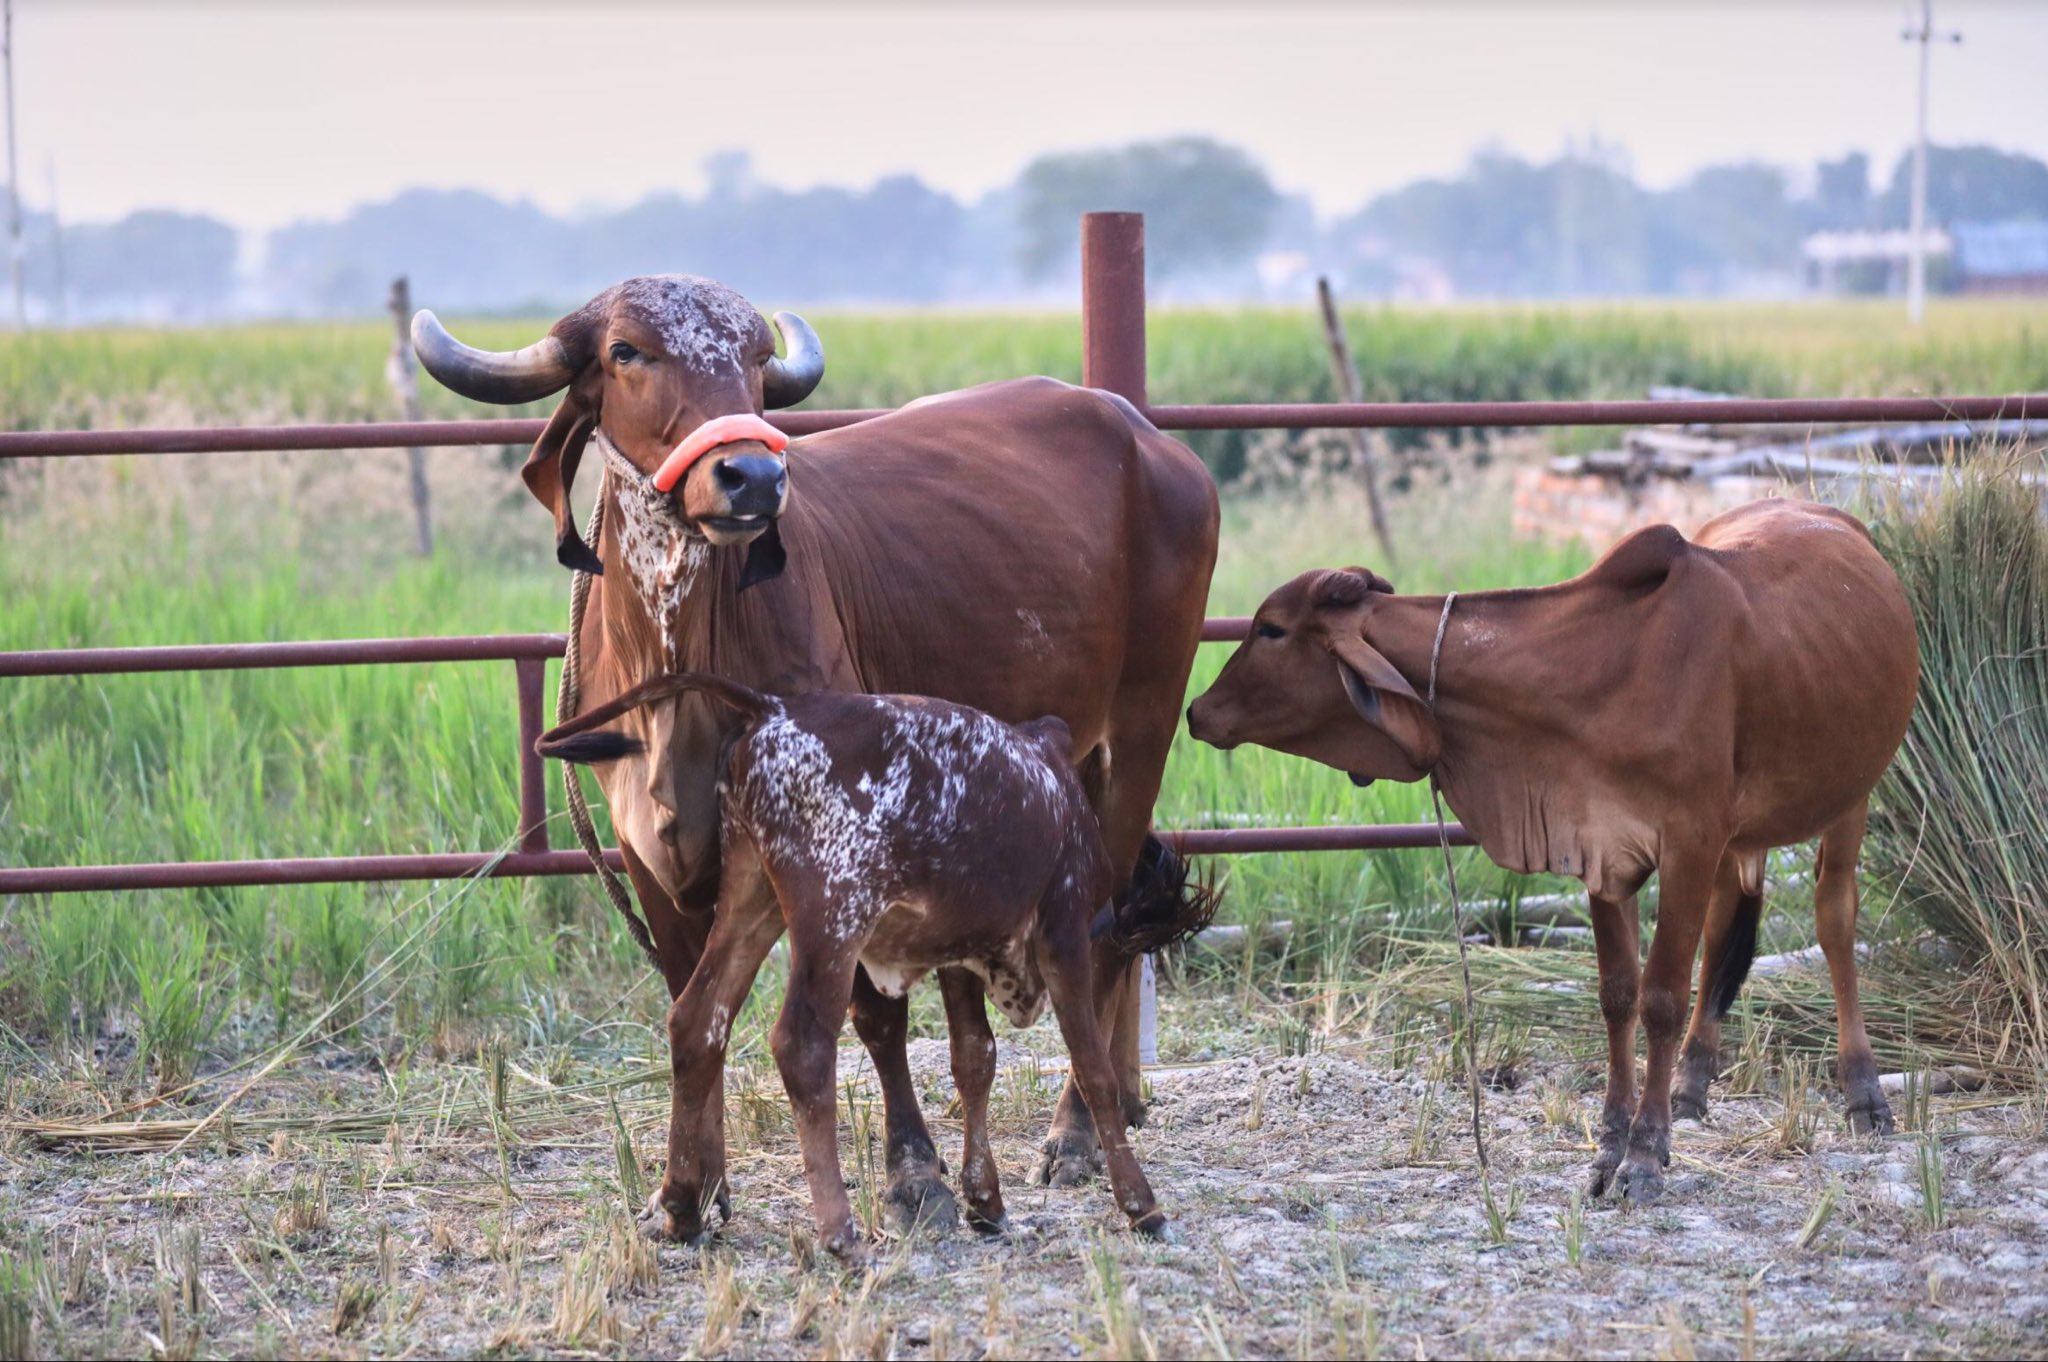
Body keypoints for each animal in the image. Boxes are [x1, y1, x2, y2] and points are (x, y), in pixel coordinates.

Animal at [535, 671, 1179, 1260]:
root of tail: (773, 709)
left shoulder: (961, 948)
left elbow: (975, 1059)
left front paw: (986, 1200)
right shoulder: (1063, 931)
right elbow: (1092, 1068)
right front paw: (1140, 1204)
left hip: (751, 899)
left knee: (697, 1022)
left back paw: (680, 1208)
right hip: (832, 916)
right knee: (801, 1045)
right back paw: (840, 1235)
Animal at [1186, 500, 1919, 1202]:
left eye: (1270, 628)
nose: (1196, 711)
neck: (1599, 667)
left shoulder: (1688, 840)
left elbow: (1660, 996)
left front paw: (1644, 1158)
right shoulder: (1600, 845)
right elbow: (1618, 993)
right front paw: (1608, 1148)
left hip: (1850, 796)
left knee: (1834, 921)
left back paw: (1864, 1094)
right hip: (1743, 837)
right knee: (1724, 930)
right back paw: (1690, 1088)